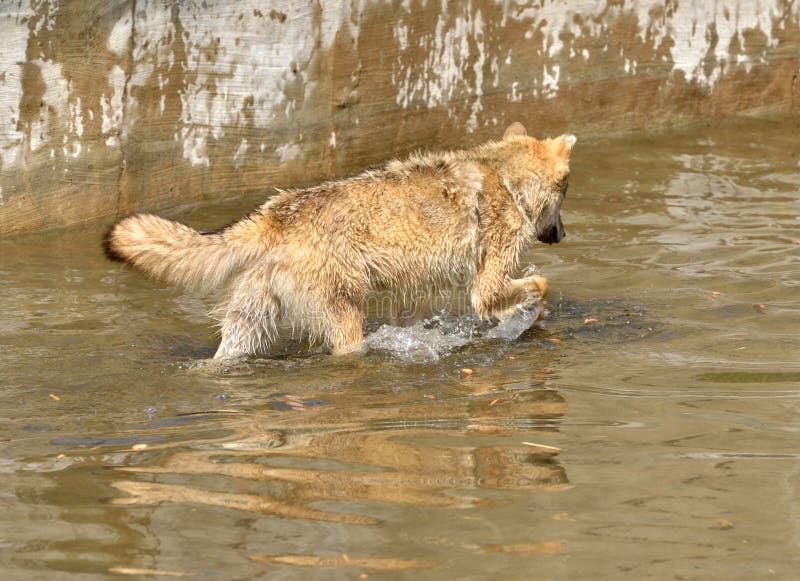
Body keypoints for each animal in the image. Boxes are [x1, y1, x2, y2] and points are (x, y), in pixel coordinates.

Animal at [104, 122, 574, 359]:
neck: (507, 179)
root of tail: (276, 213)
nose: (564, 234)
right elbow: (538, 285)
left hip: (246, 326)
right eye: (566, 196)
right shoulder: (486, 285)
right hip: (345, 317)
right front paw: (530, 313)